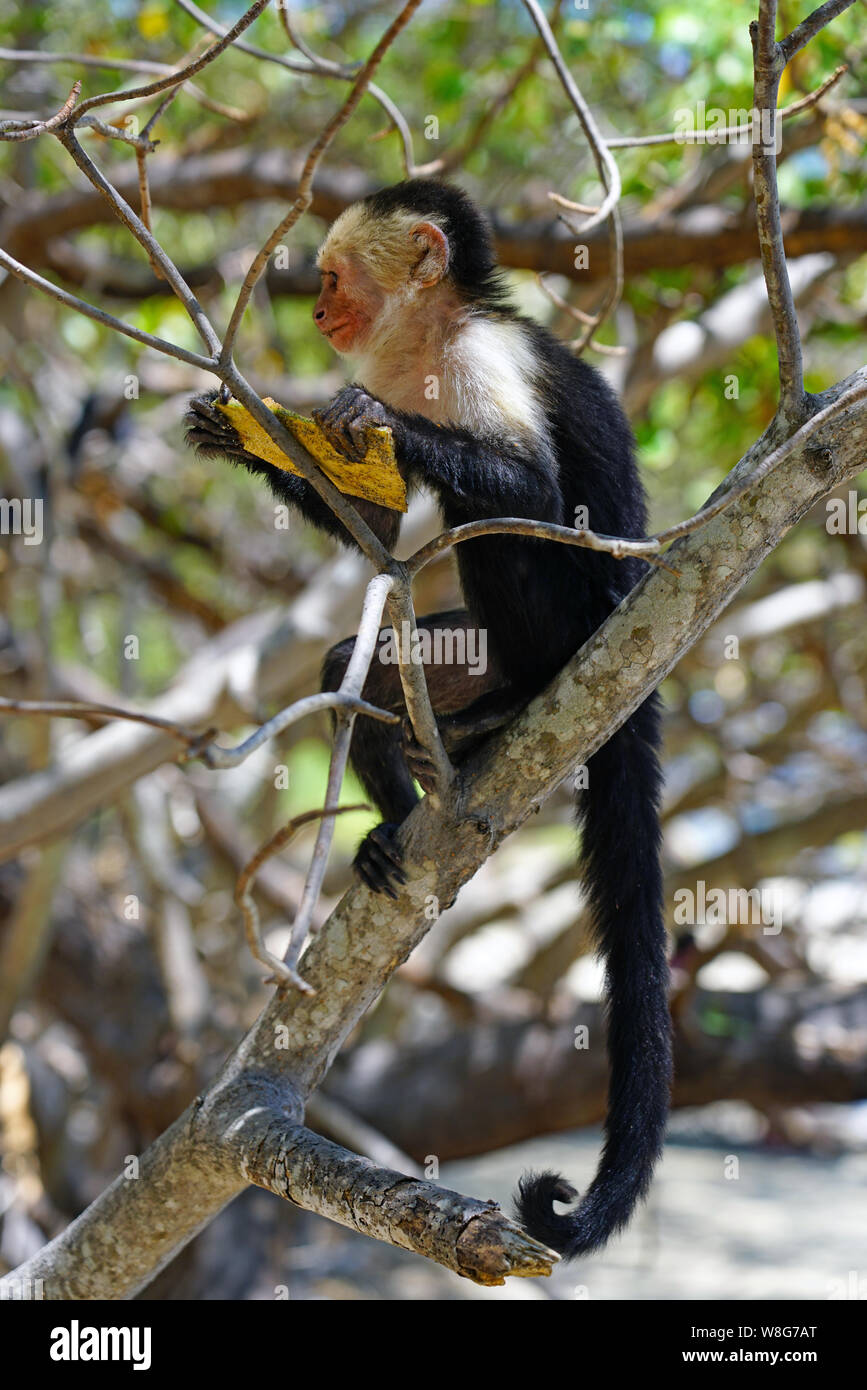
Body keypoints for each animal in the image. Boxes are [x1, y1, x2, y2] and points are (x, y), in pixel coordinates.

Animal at [185, 179, 671, 1261]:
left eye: (329, 277)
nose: (320, 313)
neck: (432, 331)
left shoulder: (480, 359)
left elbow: (537, 498)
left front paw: (388, 425)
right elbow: (371, 518)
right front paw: (241, 434)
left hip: (584, 612)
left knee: (509, 534)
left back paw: (524, 694)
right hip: (456, 663)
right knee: (355, 664)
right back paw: (411, 797)